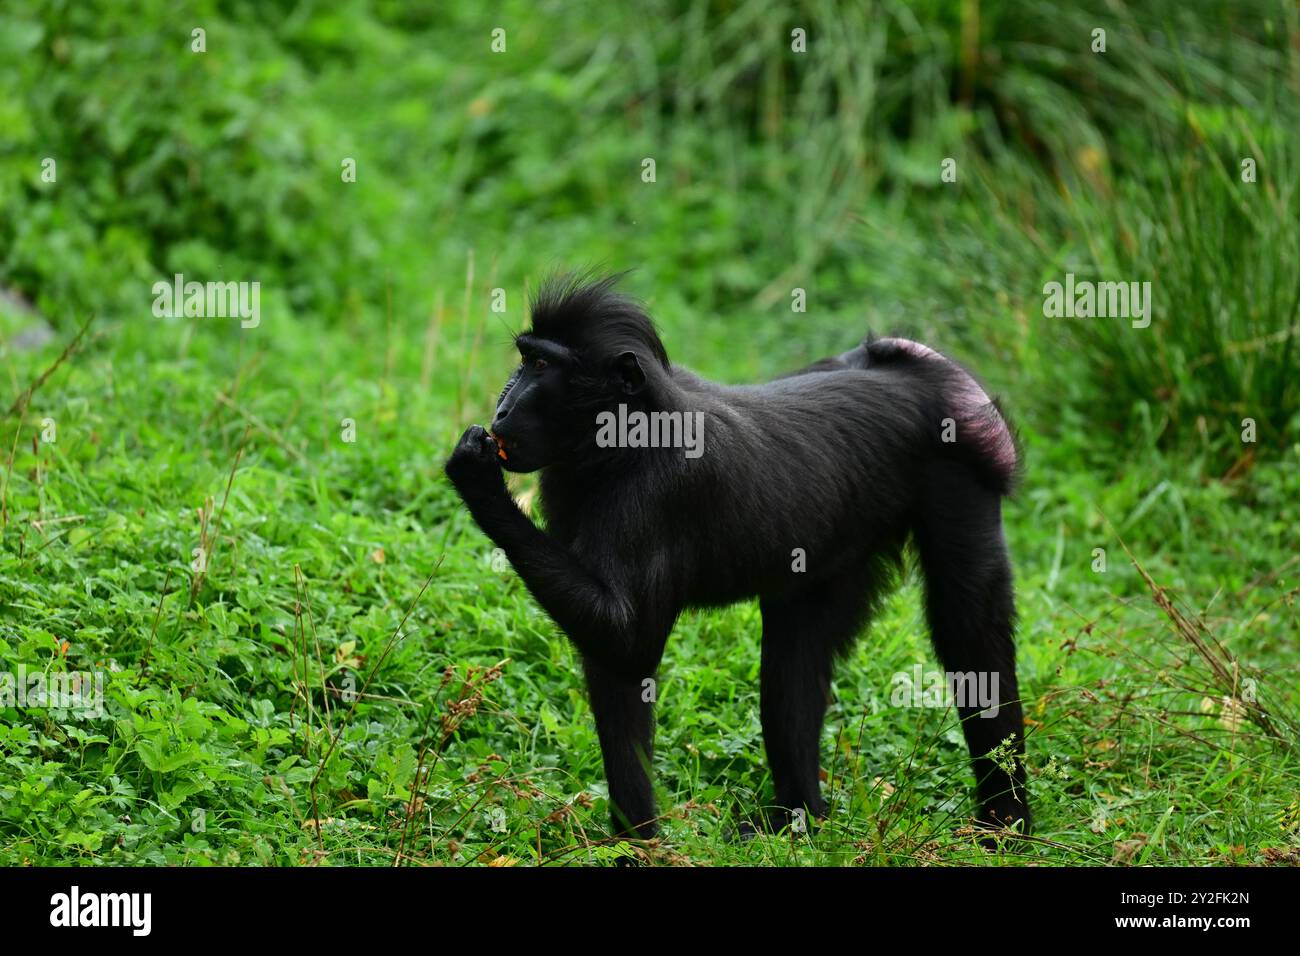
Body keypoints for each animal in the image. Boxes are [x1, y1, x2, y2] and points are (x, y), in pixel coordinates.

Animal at [444, 273, 1029, 843]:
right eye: (525, 359)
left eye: (541, 366)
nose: (501, 407)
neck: (625, 437)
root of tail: (916, 376)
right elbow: (615, 656)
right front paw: (632, 841)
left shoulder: (660, 492)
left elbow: (628, 639)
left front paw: (477, 477)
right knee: (794, 650)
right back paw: (799, 819)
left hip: (959, 479)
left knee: (968, 633)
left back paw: (1006, 823)